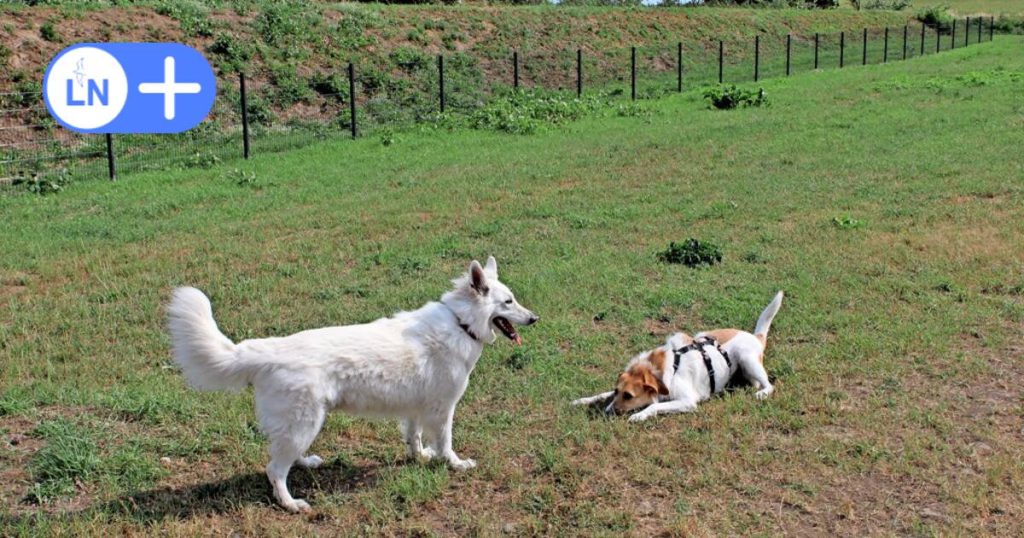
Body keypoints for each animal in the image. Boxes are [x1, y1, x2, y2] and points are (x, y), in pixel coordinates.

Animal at [165, 256, 536, 512]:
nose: (535, 318)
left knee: (281, 455)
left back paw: (305, 462)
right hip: (305, 422)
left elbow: (414, 438)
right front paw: (455, 464)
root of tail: (267, 350)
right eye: (508, 302)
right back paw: (290, 504)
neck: (461, 322)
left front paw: (419, 457)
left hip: (301, 425)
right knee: (274, 469)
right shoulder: (442, 409)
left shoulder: (415, 408)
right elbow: (445, 443)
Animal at [569, 291, 782, 422]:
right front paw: (583, 400)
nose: (606, 412)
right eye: (617, 391)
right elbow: (601, 394)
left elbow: (654, 407)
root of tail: (755, 336)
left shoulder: (687, 401)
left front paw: (639, 416)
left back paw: (762, 393)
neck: (659, 371)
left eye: (629, 396)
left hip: (747, 359)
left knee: (769, 385)